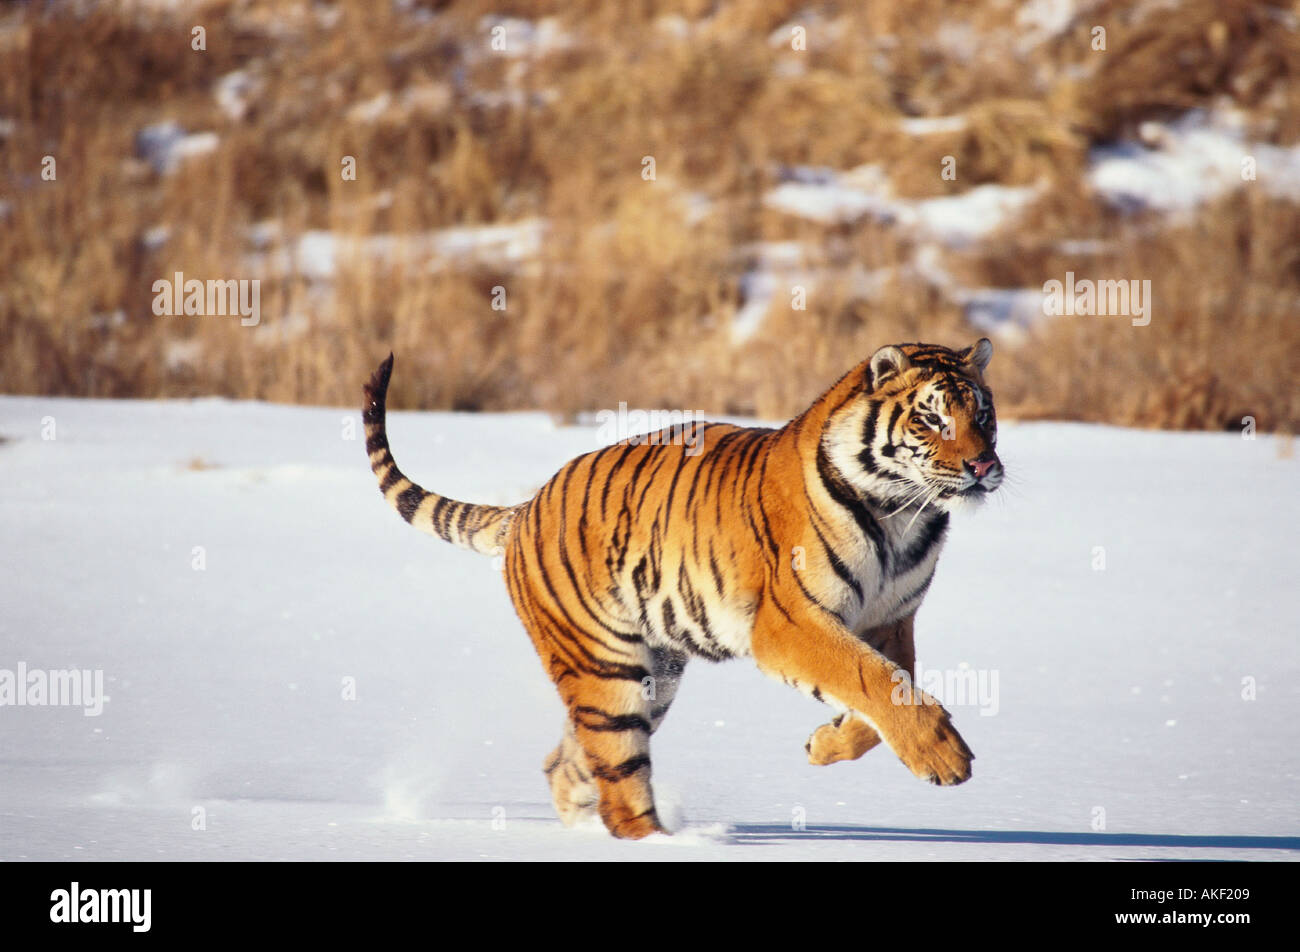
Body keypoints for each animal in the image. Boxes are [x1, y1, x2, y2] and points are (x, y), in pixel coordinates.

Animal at [362, 338, 1003, 839]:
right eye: (931, 419)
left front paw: (826, 744)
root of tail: (525, 508)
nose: (981, 467)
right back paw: (667, 844)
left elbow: (888, 687)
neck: (903, 513)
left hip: (654, 677)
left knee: (567, 764)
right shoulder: (791, 622)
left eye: (983, 417)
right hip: (606, 670)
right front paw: (946, 756)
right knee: (620, 787)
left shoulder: (889, 620)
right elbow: (870, 679)